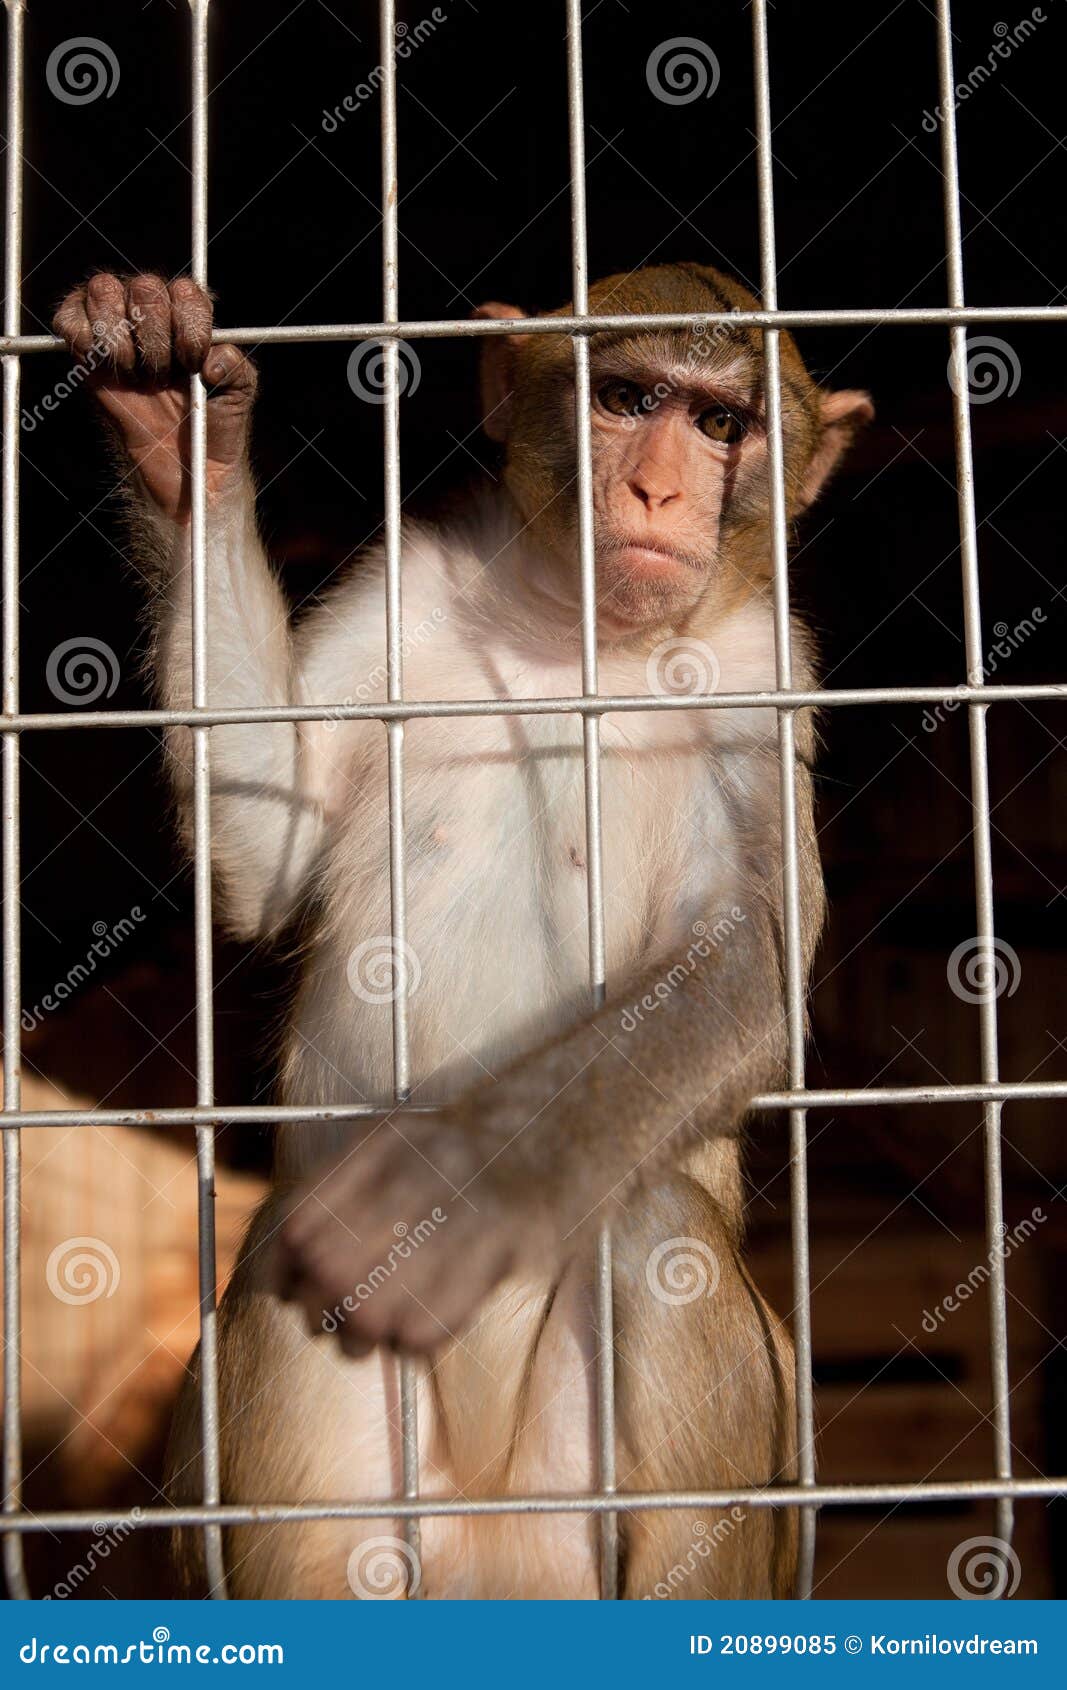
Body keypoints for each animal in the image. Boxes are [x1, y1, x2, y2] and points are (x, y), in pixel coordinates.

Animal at [54, 262, 872, 1600]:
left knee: (658, 1225)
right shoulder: (404, 595)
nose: (656, 489)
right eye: (625, 397)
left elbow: (743, 969)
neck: (578, 637)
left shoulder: (763, 682)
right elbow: (268, 855)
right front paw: (176, 433)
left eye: (720, 424)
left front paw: (467, 1186)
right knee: (282, 1272)